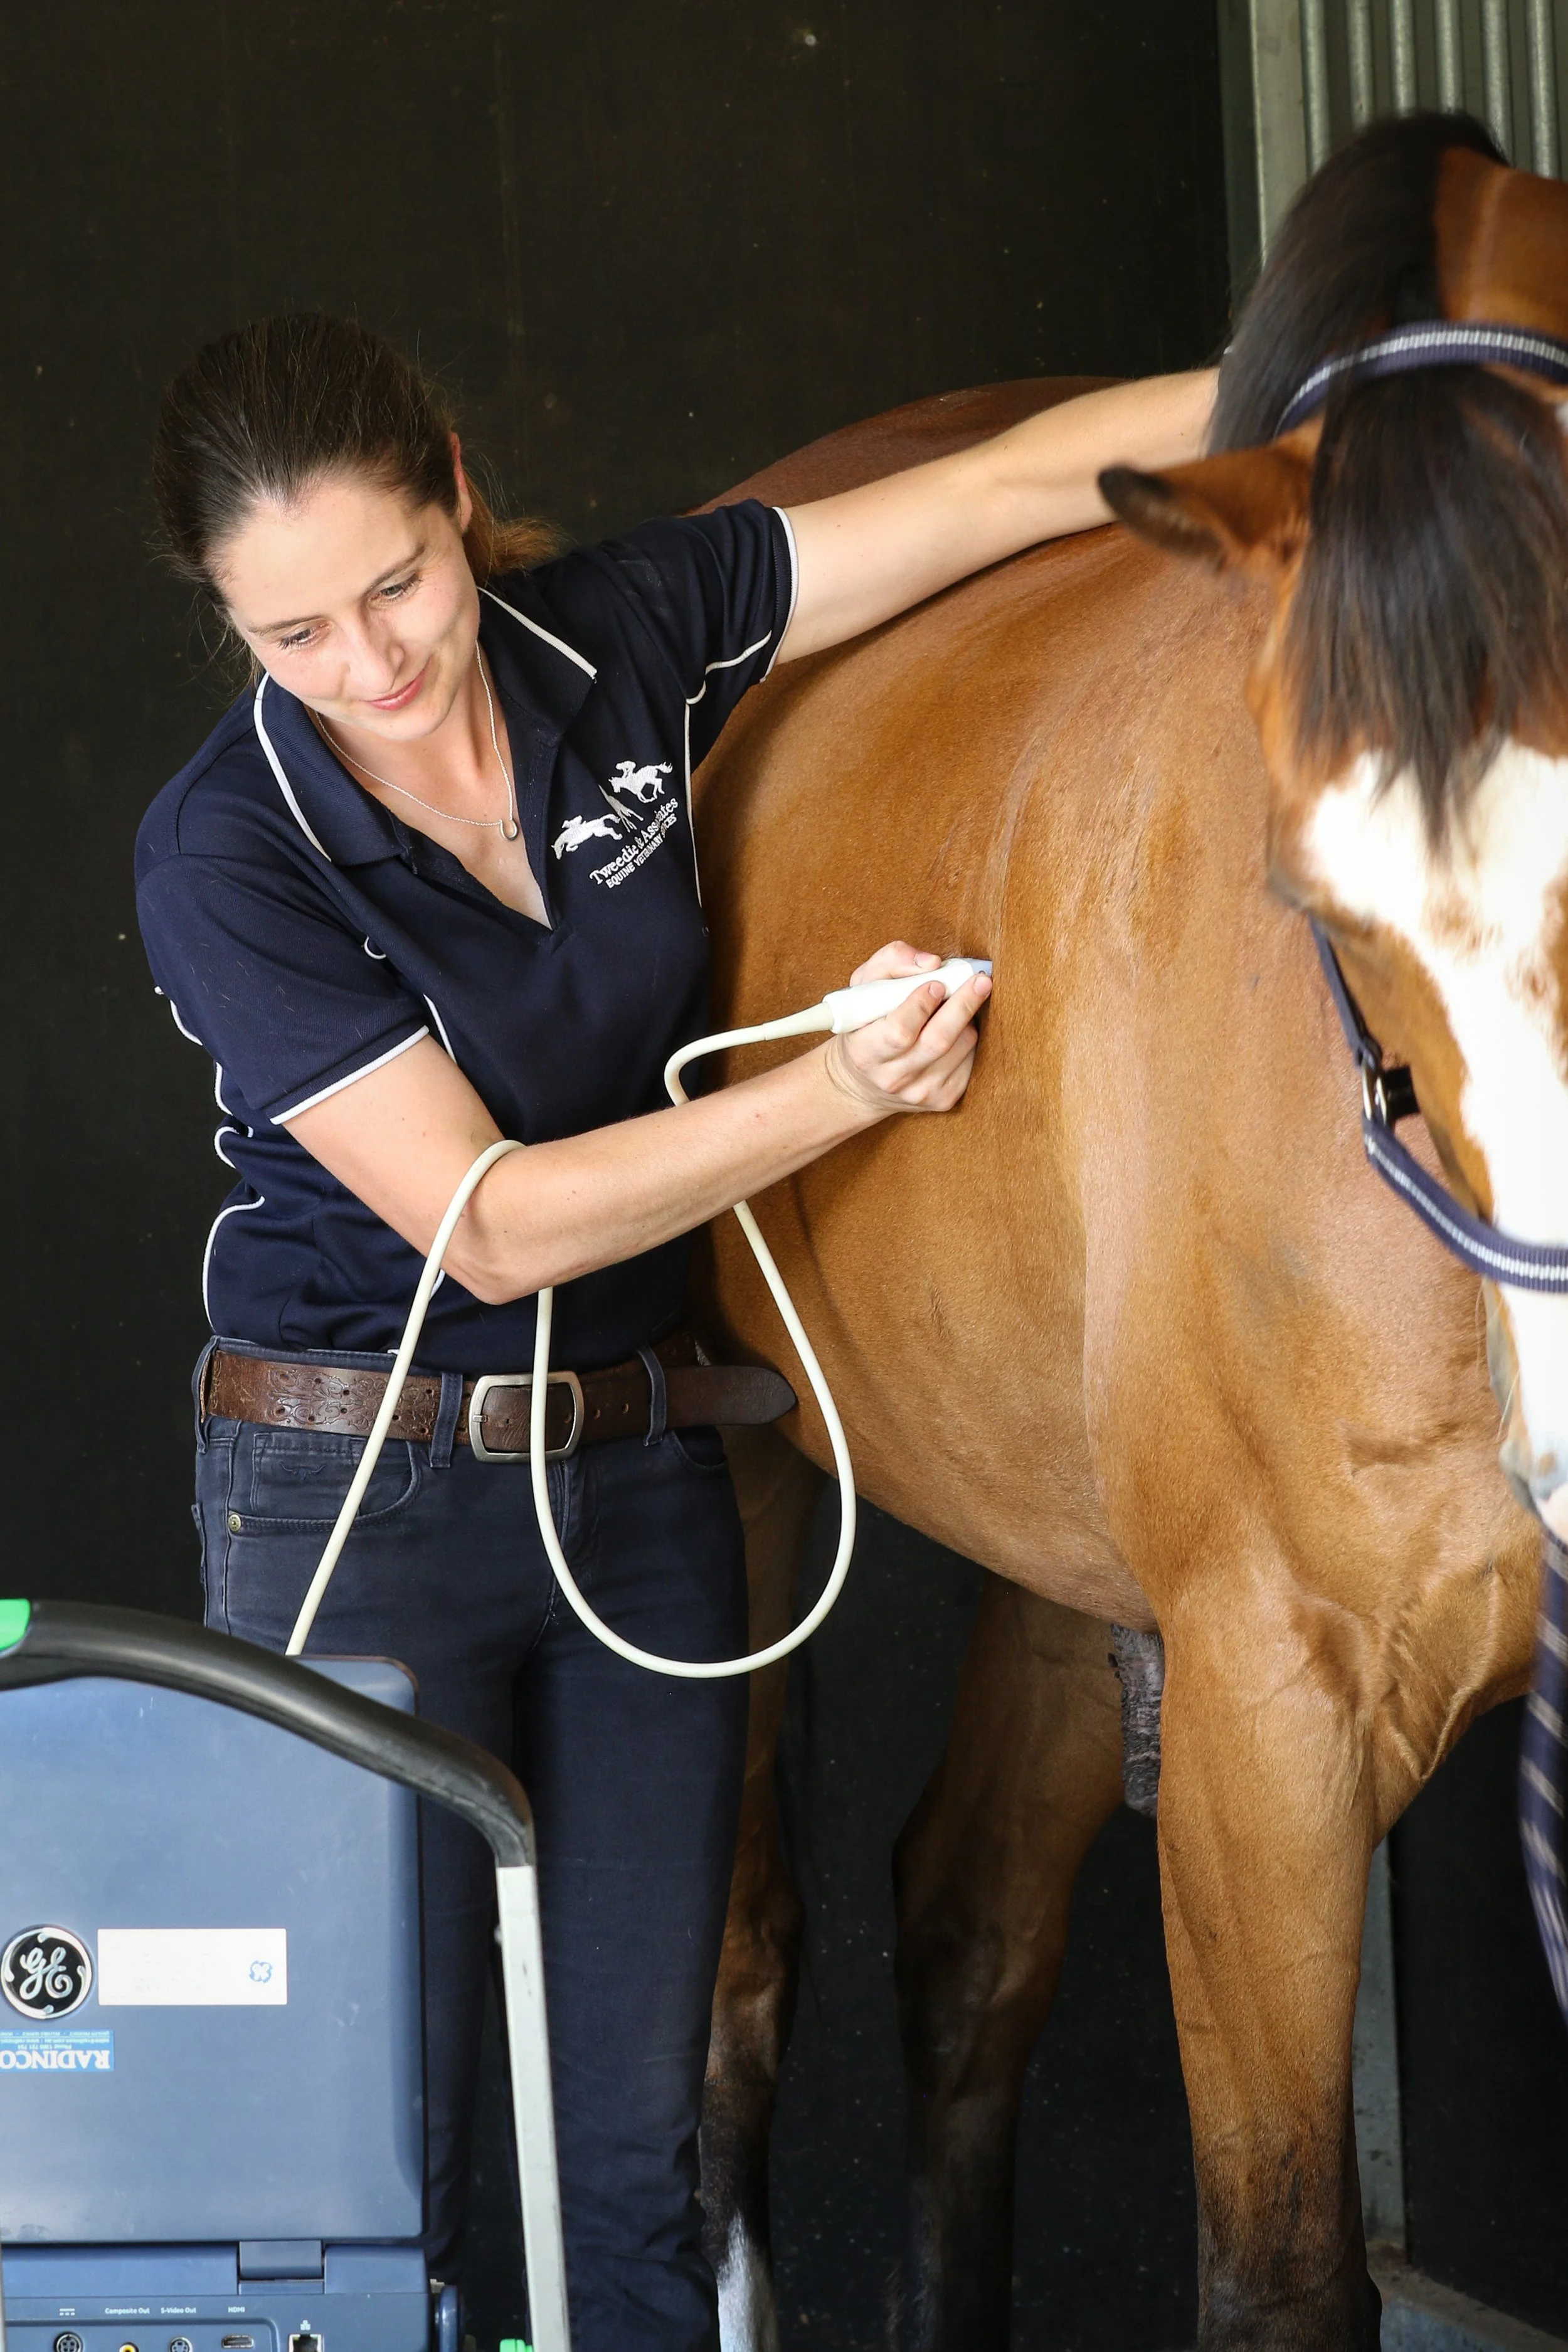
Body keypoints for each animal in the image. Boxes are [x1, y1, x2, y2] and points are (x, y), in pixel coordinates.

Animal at [687, 114, 1568, 2351]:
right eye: (1313, 902)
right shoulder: (1267, 1713)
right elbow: (1277, 2272)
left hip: (1063, 1560)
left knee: (964, 1937)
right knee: (727, 1981)